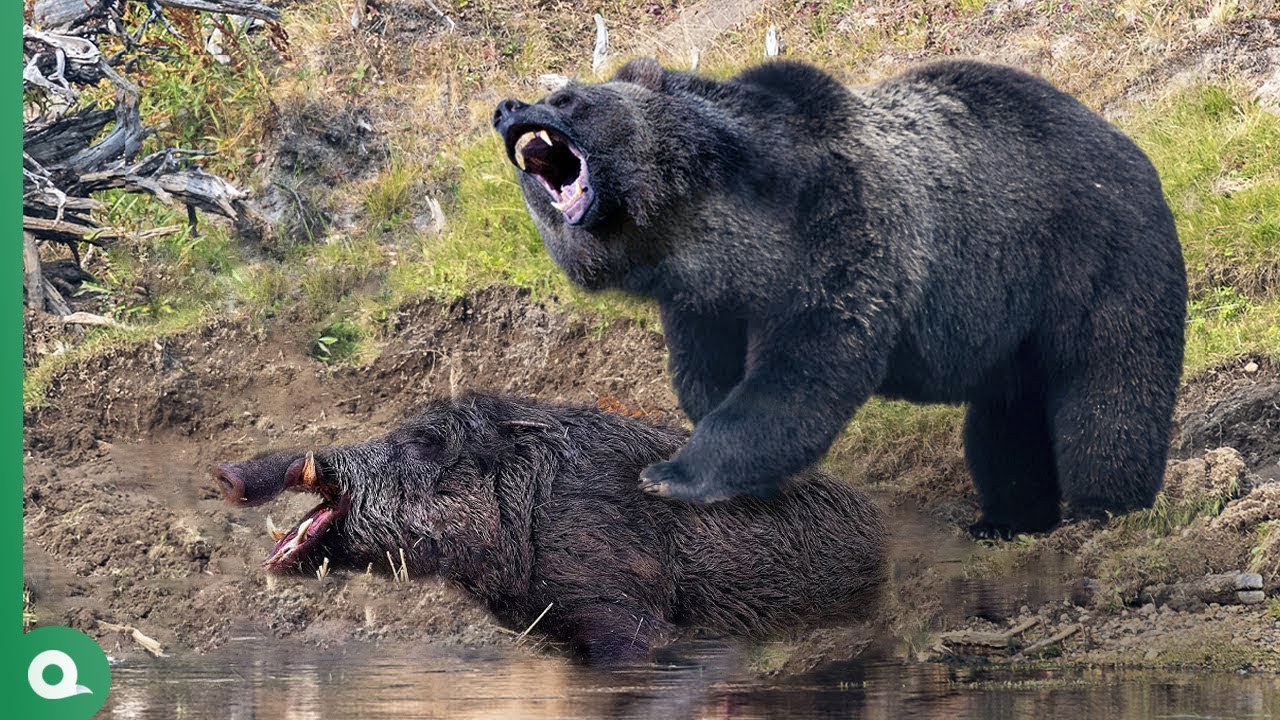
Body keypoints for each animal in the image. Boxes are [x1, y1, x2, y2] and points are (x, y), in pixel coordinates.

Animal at [492, 58, 1188, 538]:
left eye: (566, 95)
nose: (506, 106)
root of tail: (1128, 143)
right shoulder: (706, 298)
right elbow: (707, 375)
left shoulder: (839, 233)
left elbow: (804, 371)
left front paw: (673, 474)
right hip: (1011, 327)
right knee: (1005, 418)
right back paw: (1006, 518)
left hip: (1094, 256)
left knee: (1109, 384)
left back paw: (1102, 506)